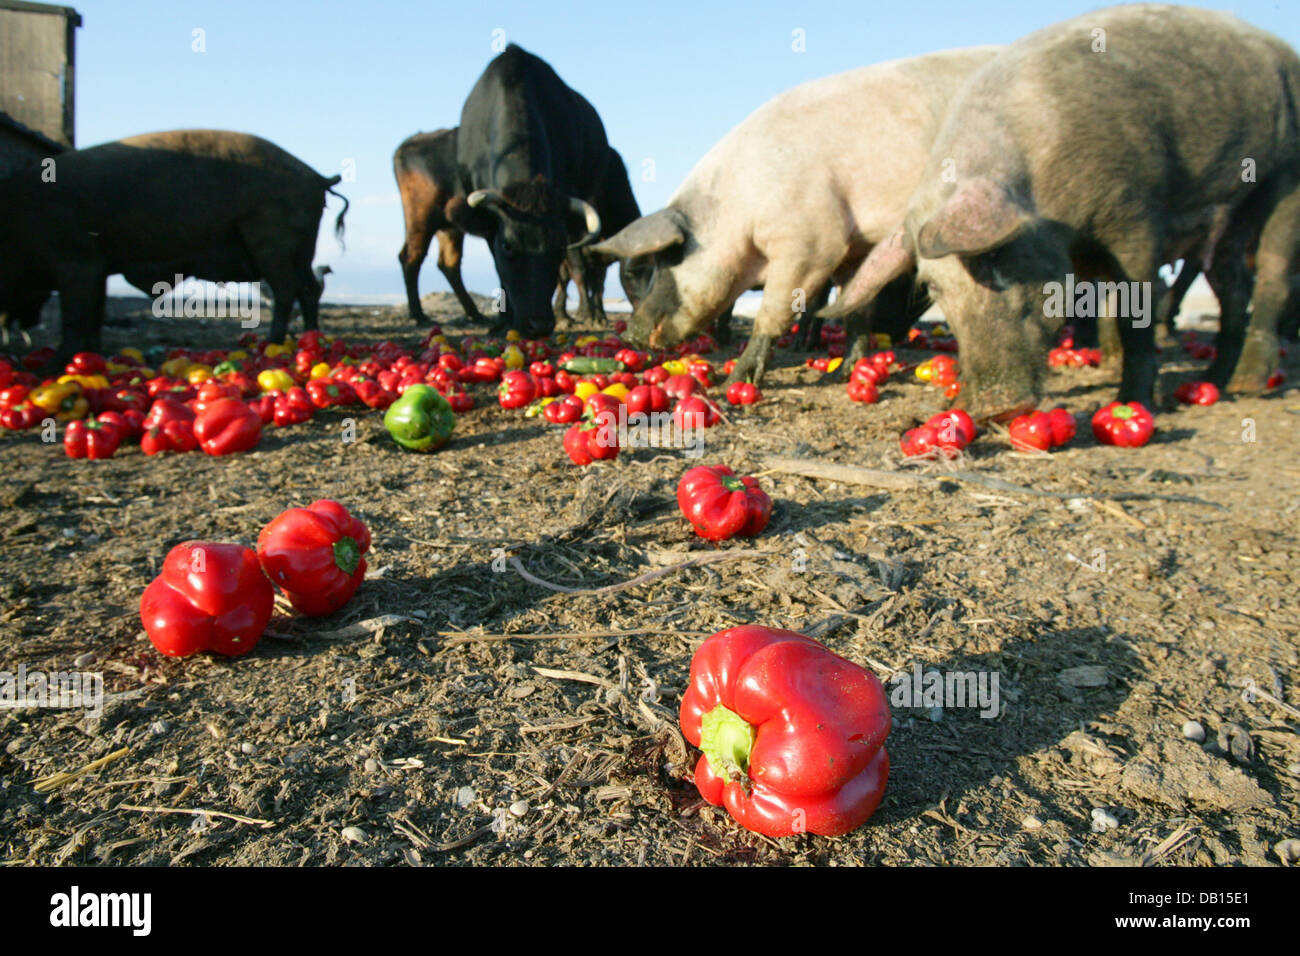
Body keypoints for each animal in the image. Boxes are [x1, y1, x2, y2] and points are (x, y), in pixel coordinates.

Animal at [0, 129, 347, 367]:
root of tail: (316, 177)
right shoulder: (96, 268)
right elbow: (93, 312)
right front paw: (88, 356)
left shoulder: (77, 262)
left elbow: (76, 314)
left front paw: (55, 365)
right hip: (302, 248)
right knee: (308, 288)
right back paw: (309, 338)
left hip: (272, 240)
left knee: (287, 289)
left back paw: (271, 344)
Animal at [449, 44, 639, 339]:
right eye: (508, 246)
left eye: (557, 246)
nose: (538, 325)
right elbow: (500, 271)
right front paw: (503, 321)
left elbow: (577, 271)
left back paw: (591, 315)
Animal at [588, 47, 1001, 386]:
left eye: (671, 258)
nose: (631, 334)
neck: (742, 206)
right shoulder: (854, 249)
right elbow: (855, 309)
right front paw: (844, 372)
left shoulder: (811, 242)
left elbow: (776, 312)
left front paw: (734, 381)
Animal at [889, 5, 1300, 419]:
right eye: (933, 287)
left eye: (996, 262)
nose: (996, 408)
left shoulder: (1135, 214)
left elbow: (1134, 313)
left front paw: (1132, 401)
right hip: (1228, 220)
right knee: (1234, 287)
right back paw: (1217, 379)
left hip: (1286, 177)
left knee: (1273, 276)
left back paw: (1248, 383)